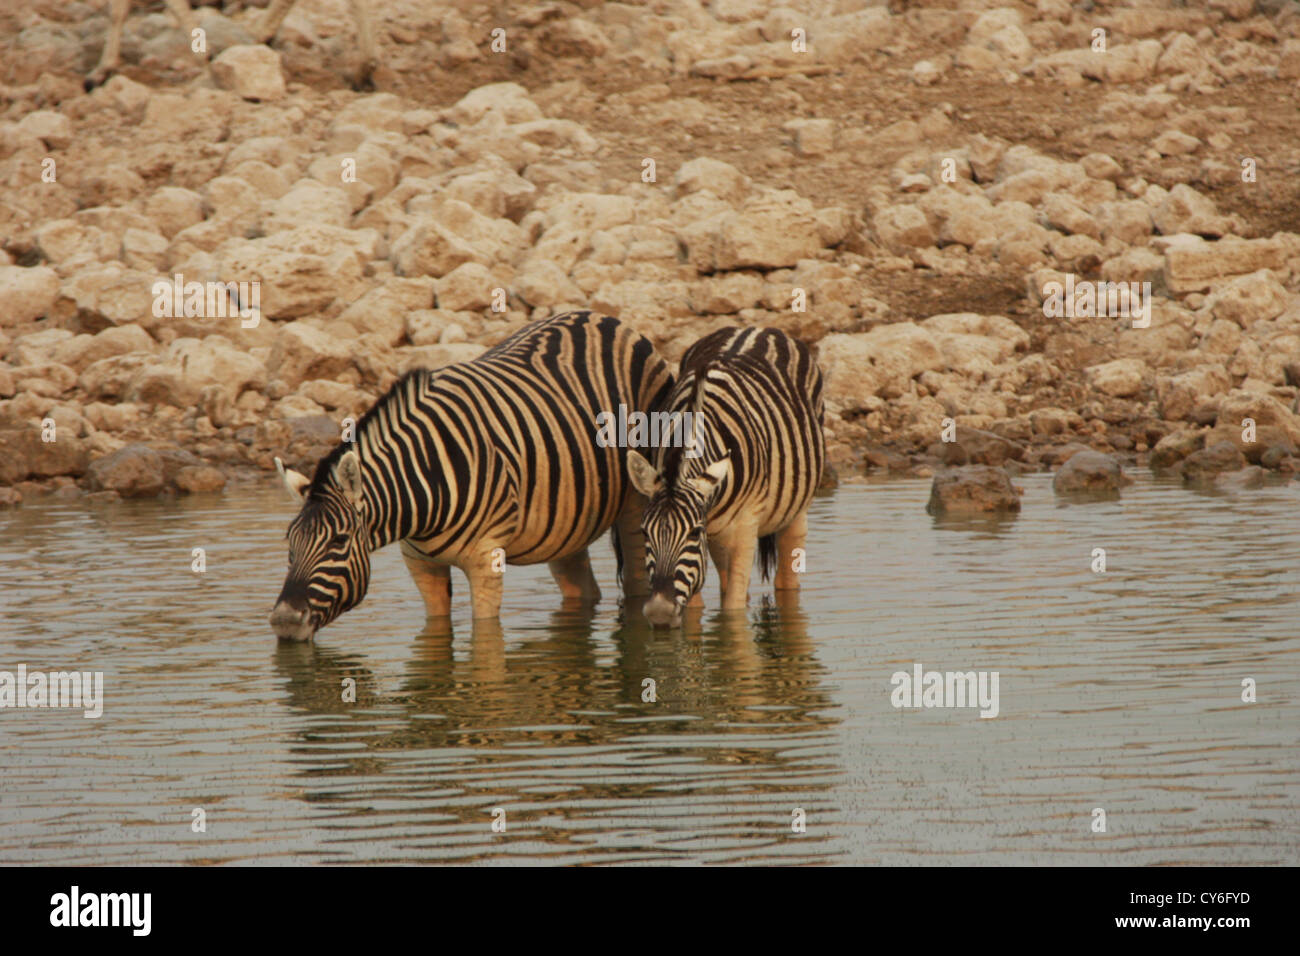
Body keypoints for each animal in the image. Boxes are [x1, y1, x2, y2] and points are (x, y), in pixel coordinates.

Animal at [270, 310, 673, 641]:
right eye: (290, 545)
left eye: (338, 541)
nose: (284, 622)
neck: (420, 494)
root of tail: (604, 317)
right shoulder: (420, 564)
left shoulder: (486, 561)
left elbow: (485, 639)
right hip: (569, 520)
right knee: (583, 590)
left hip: (635, 501)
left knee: (635, 583)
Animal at [626, 327, 824, 628]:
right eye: (645, 532)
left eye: (693, 533)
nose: (659, 613)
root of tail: (754, 328)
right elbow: (698, 607)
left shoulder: (745, 525)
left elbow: (733, 609)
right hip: (721, 531)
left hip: (796, 502)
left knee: (786, 573)